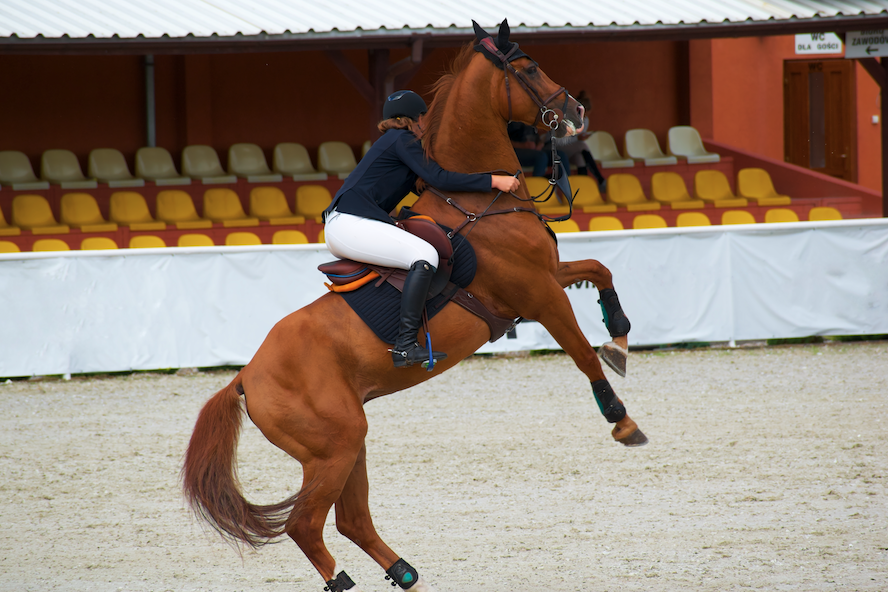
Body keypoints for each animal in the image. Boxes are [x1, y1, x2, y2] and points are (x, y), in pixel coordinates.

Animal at [183, 20, 646, 592]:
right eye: (531, 66)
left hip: (347, 441)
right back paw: (348, 580)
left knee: (351, 519)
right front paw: (620, 419)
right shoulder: (538, 294)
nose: (579, 112)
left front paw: (620, 340)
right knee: (305, 524)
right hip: (334, 446)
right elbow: (581, 353)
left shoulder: (543, 279)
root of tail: (246, 376)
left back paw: (403, 572)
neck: (475, 201)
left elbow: (600, 272)